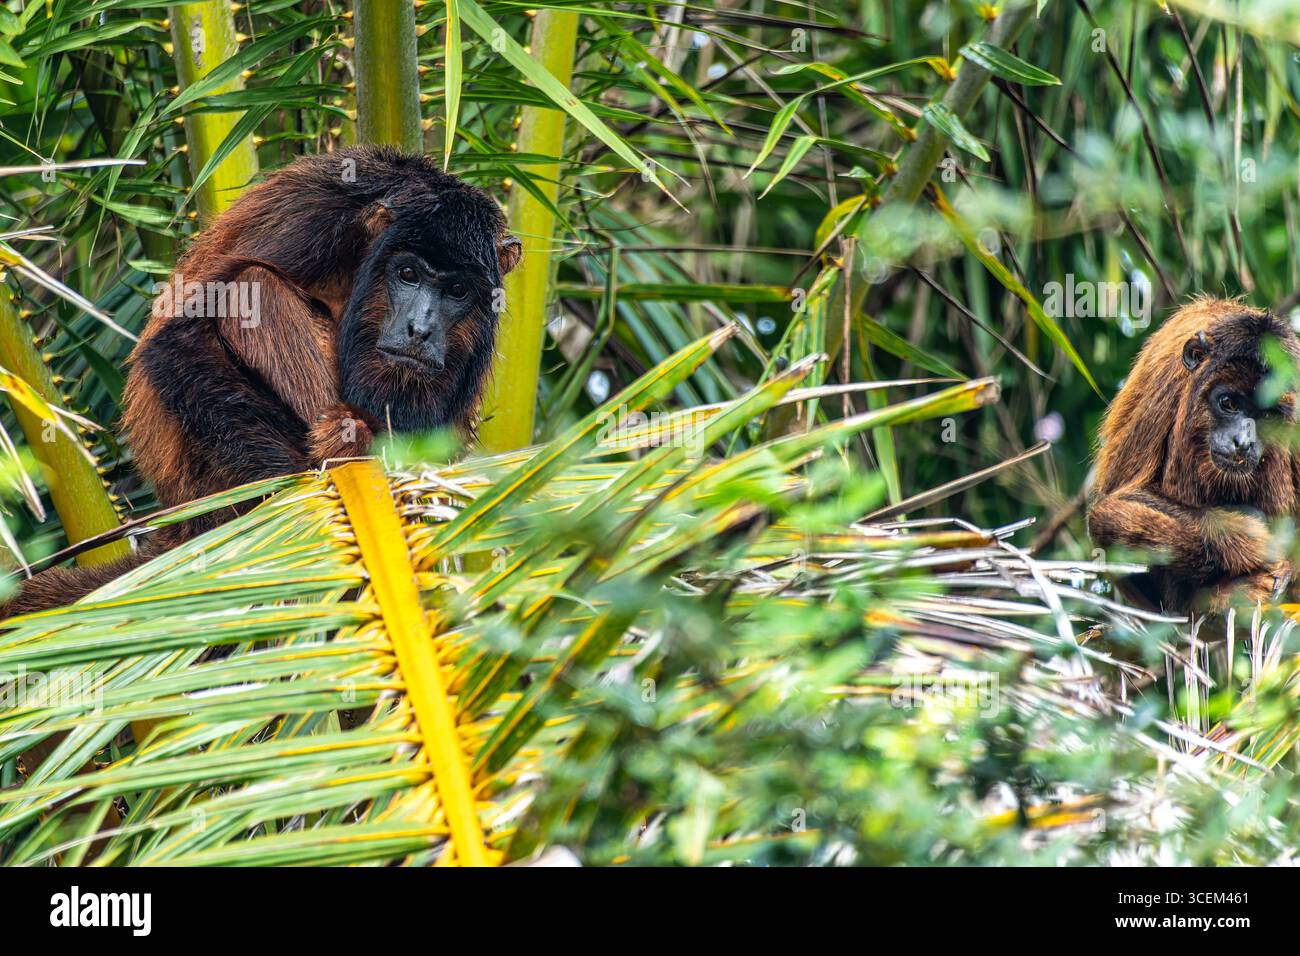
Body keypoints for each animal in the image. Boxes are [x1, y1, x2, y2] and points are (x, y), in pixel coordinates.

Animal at [1, 146, 521, 617]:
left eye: (457, 290)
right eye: (408, 274)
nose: (420, 329)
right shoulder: (317, 219)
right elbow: (180, 337)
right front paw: (290, 479)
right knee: (252, 287)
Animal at [1088, 297, 1300, 614]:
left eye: (1268, 417)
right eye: (1229, 403)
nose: (1243, 442)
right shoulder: (1166, 382)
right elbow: (1114, 504)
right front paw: (1252, 539)